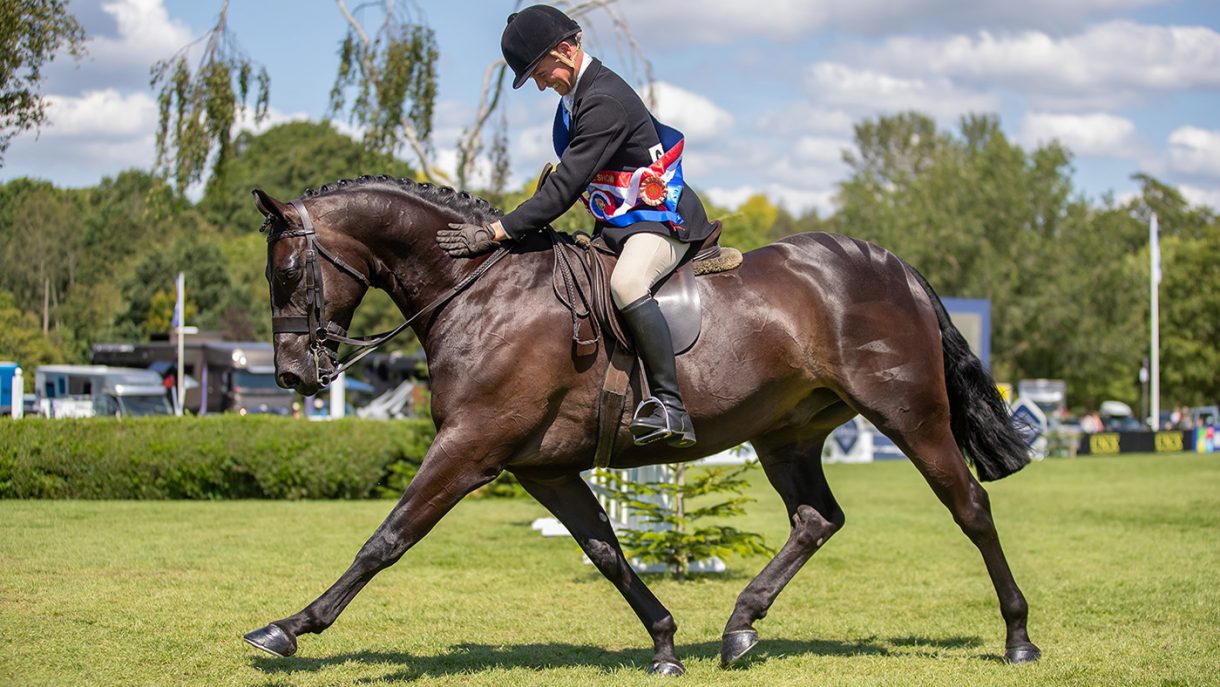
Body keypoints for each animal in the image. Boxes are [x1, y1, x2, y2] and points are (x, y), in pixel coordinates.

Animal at [243, 175, 1041, 676]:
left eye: (285, 274)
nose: (291, 376)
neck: (478, 291)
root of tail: (893, 266)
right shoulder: (542, 467)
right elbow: (607, 552)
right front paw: (664, 644)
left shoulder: (470, 447)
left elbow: (386, 539)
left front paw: (289, 627)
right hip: (785, 433)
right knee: (818, 518)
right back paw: (740, 625)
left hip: (910, 416)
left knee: (971, 507)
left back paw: (1018, 636)